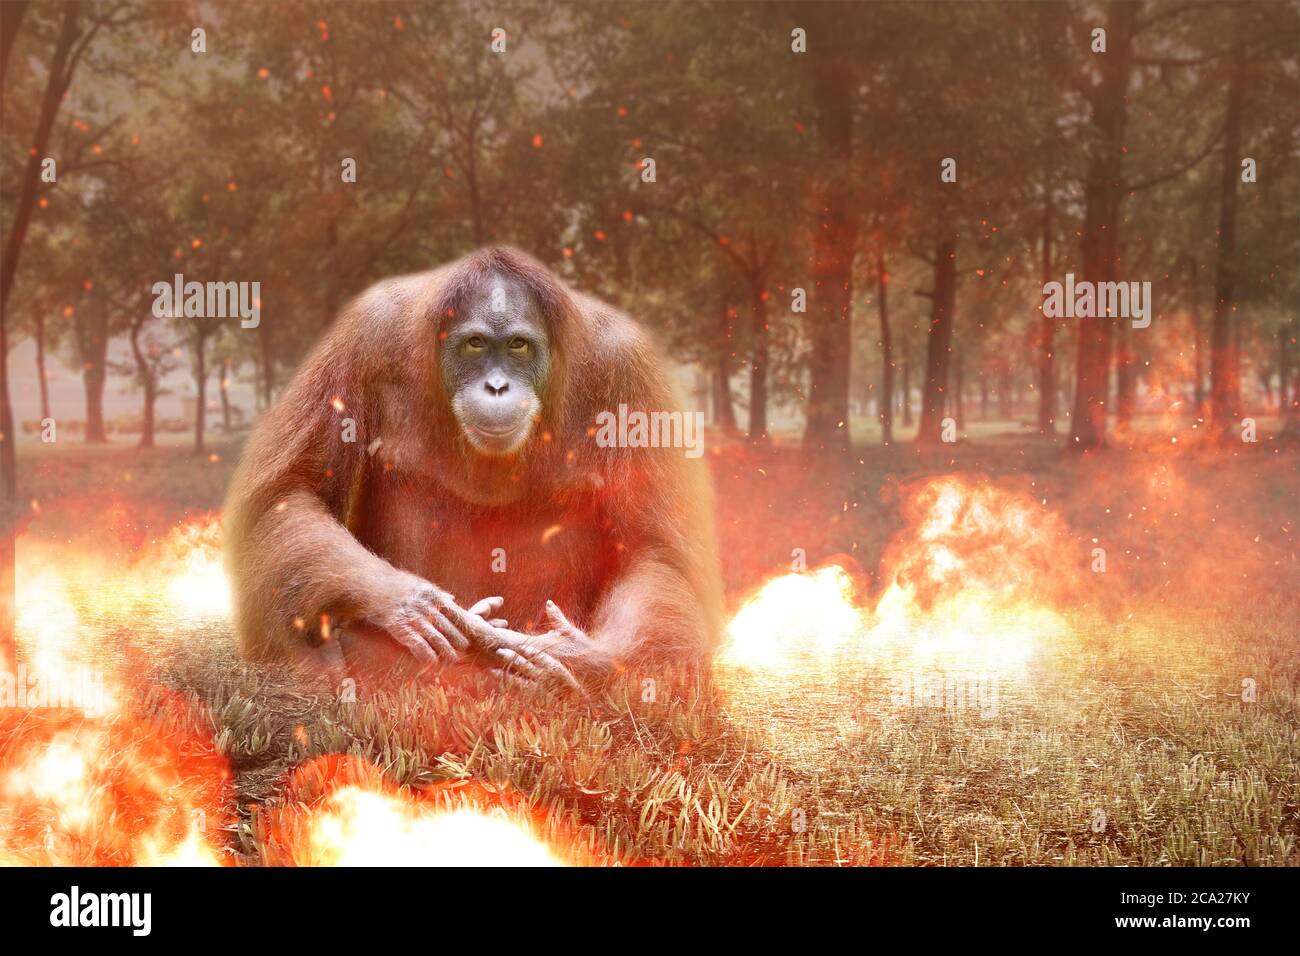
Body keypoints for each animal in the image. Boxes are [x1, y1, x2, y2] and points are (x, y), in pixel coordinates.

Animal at [223, 246, 723, 690]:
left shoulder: (630, 369)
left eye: (518, 345)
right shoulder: (365, 333)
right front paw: (409, 603)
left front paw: (574, 655)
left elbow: (655, 550)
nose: (496, 386)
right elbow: (291, 490)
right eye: (476, 344)